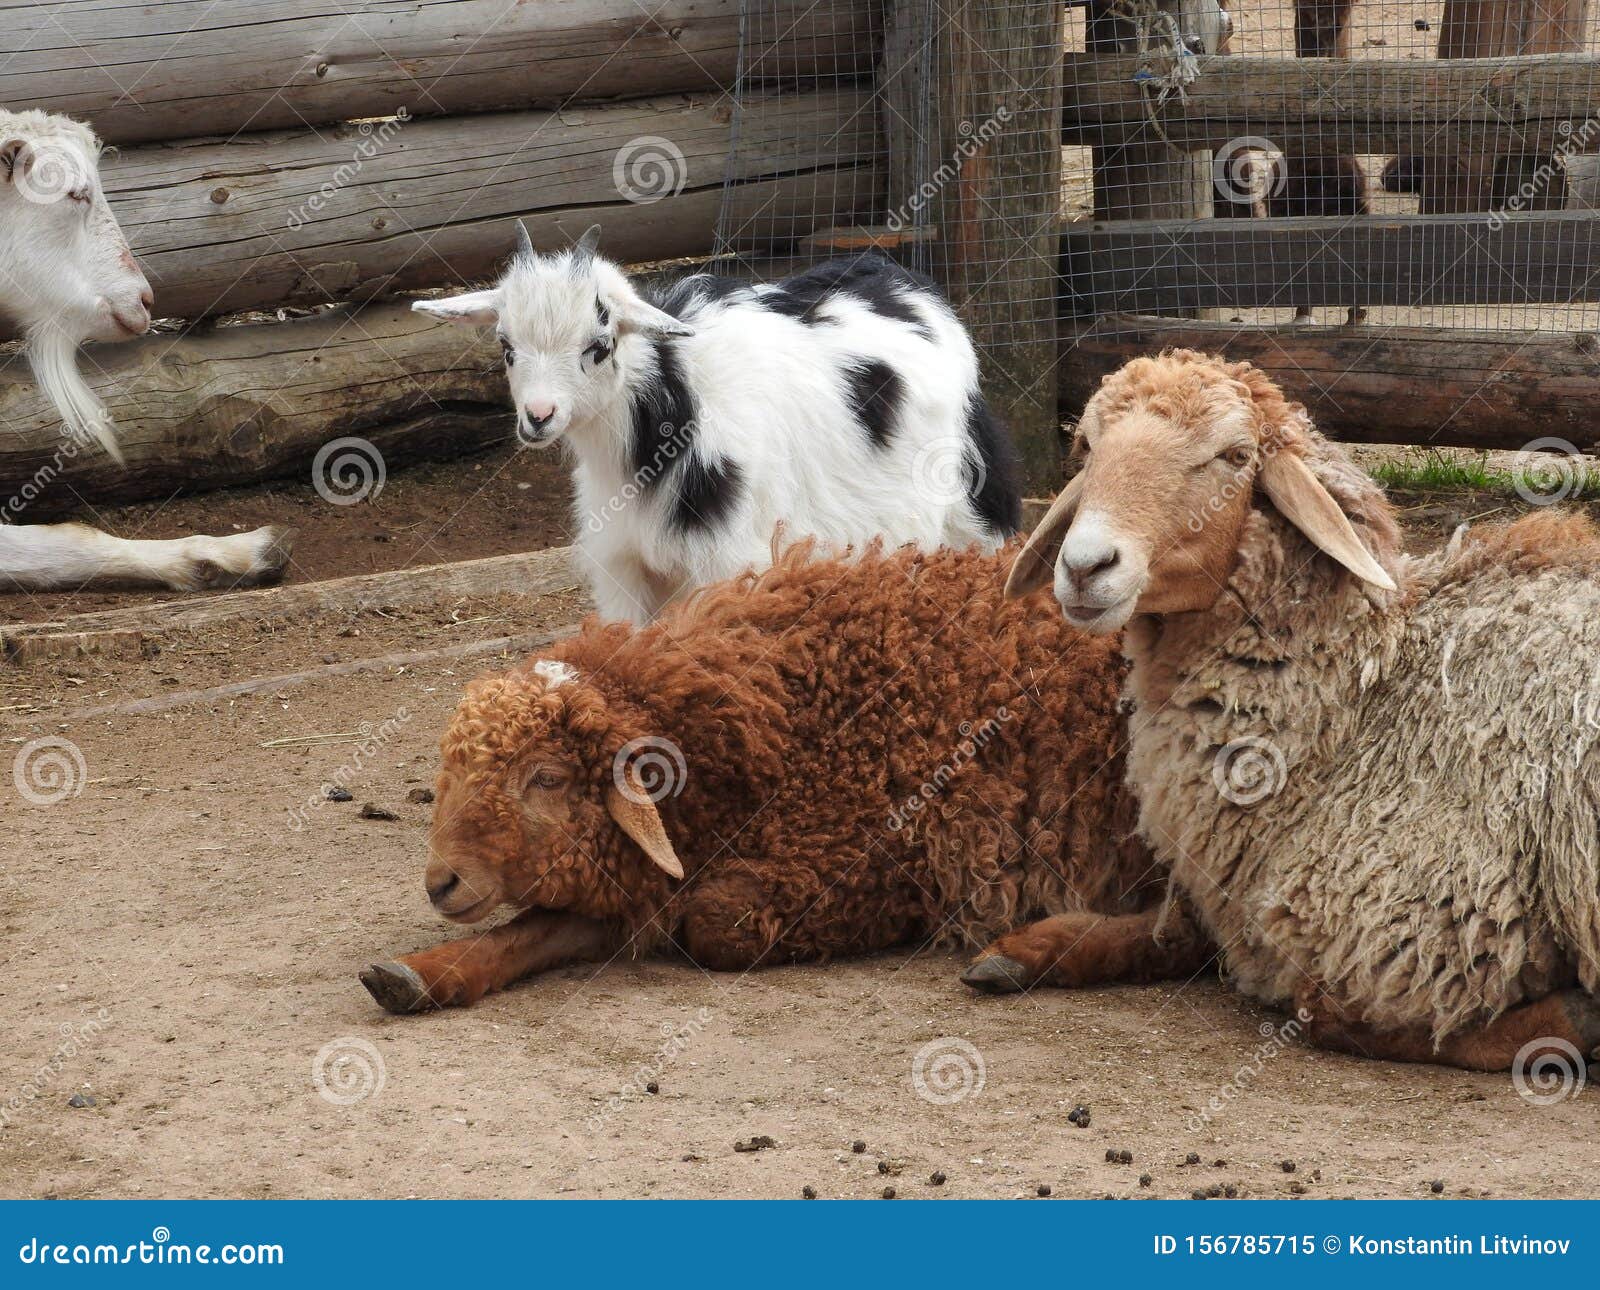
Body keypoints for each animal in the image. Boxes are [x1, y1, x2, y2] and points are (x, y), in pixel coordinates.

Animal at [358, 540, 1205, 1014]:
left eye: (545, 778)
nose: (443, 882)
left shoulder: (872, 856)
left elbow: (714, 923)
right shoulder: (648, 870)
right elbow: (547, 928)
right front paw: (421, 974)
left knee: (1189, 934)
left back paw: (1031, 952)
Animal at [412, 226, 1021, 625]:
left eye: (599, 346)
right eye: (506, 345)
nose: (537, 417)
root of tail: (909, 284)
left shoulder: (730, 565)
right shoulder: (624, 568)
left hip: (970, 509)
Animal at [990, 347, 1600, 1072]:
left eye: (1234, 455)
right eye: (1086, 447)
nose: (1085, 567)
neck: (1366, 698)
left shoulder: (1427, 925)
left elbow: (1329, 1012)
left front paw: (1577, 1018)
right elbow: (1172, 928)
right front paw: (1027, 949)